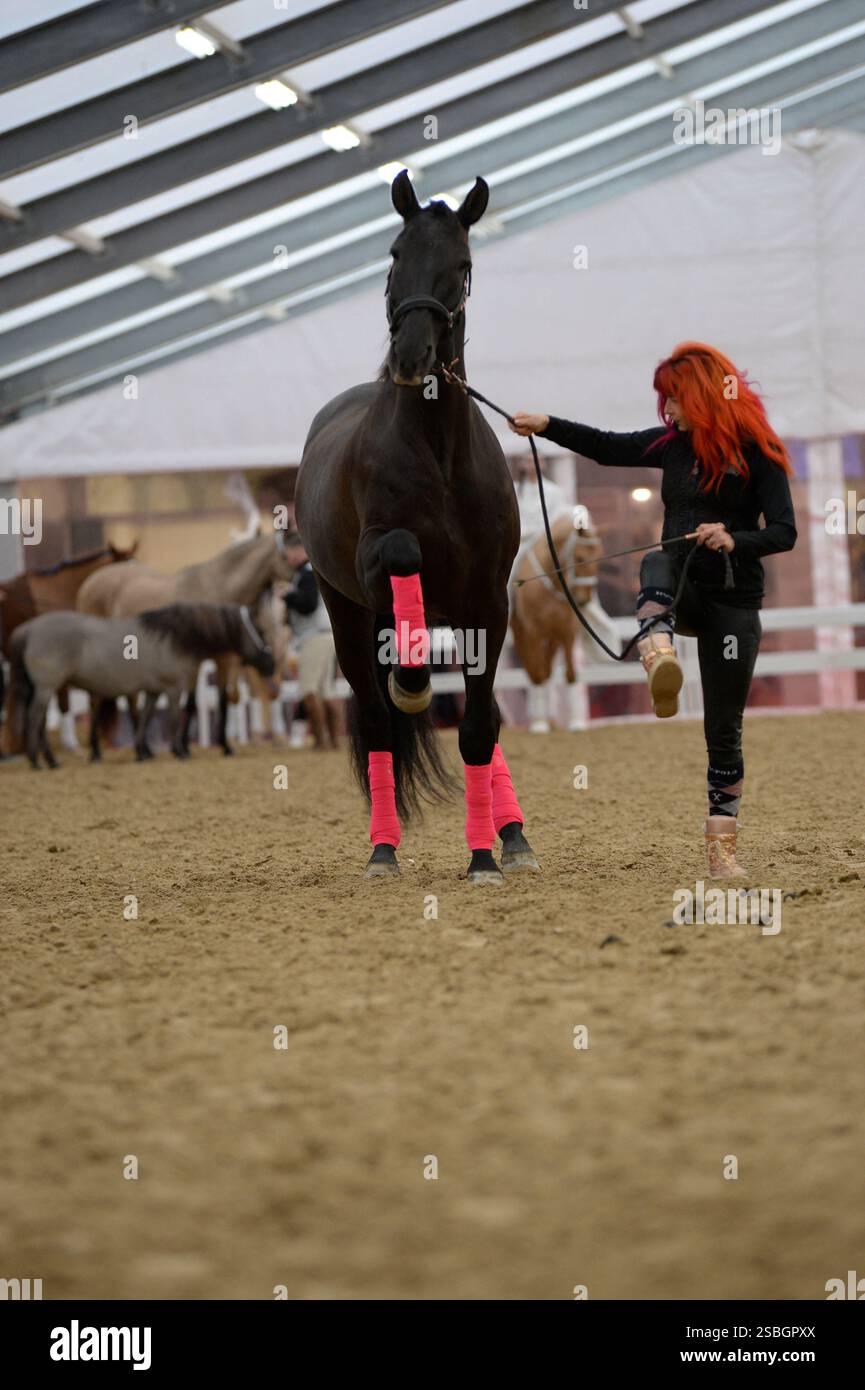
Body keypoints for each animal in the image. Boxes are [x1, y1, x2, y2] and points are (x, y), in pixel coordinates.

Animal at [9, 601, 275, 770]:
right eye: (261, 631)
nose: (271, 666)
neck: (177, 637)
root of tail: (28, 629)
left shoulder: (154, 691)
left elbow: (145, 718)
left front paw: (141, 752)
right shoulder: (172, 689)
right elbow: (173, 718)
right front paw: (179, 751)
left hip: (41, 688)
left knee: (40, 722)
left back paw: (49, 760)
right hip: (46, 687)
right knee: (35, 719)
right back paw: (39, 761)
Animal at [76, 532, 293, 753]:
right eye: (288, 554)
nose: (275, 656)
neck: (216, 591)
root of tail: (90, 582)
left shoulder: (224, 659)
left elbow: (222, 699)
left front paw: (224, 745)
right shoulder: (195, 661)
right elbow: (190, 701)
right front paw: (184, 746)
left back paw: (143, 748)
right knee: (96, 698)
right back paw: (97, 750)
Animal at [295, 170, 539, 884]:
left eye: (461, 265)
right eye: (395, 254)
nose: (411, 355)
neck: (439, 452)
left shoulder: (487, 602)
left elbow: (480, 730)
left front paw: (487, 854)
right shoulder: (381, 559)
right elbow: (403, 551)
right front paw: (412, 681)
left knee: (487, 717)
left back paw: (513, 835)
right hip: (346, 612)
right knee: (377, 721)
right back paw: (383, 848)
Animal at [510, 511, 621, 732]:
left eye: (599, 558)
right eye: (579, 558)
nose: (583, 600)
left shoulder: (567, 631)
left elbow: (570, 674)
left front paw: (576, 723)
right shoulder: (534, 631)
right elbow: (537, 673)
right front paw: (539, 725)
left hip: (553, 636)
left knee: (546, 670)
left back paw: (552, 720)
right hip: (522, 634)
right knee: (534, 670)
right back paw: (540, 720)